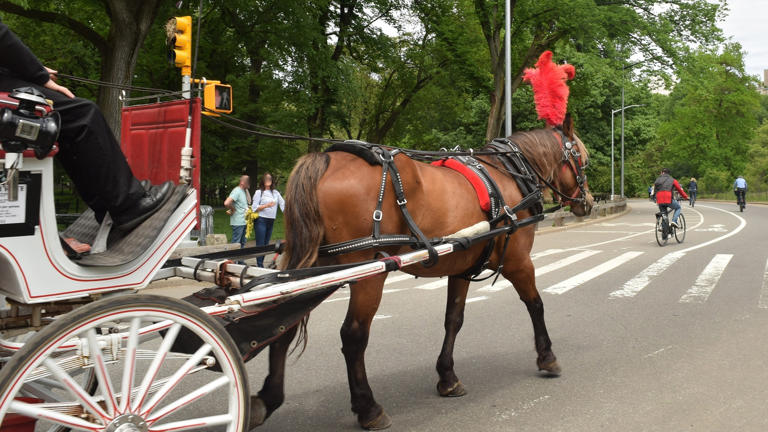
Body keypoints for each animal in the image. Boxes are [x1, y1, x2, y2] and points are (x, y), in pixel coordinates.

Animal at [248, 118, 594, 430]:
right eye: (582, 158)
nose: (588, 202)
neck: (508, 173)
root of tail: (326, 159)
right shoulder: (519, 261)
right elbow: (536, 304)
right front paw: (547, 356)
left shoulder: (462, 268)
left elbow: (454, 320)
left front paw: (448, 377)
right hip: (369, 271)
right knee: (353, 335)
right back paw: (368, 407)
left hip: (310, 266)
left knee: (285, 325)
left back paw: (267, 398)